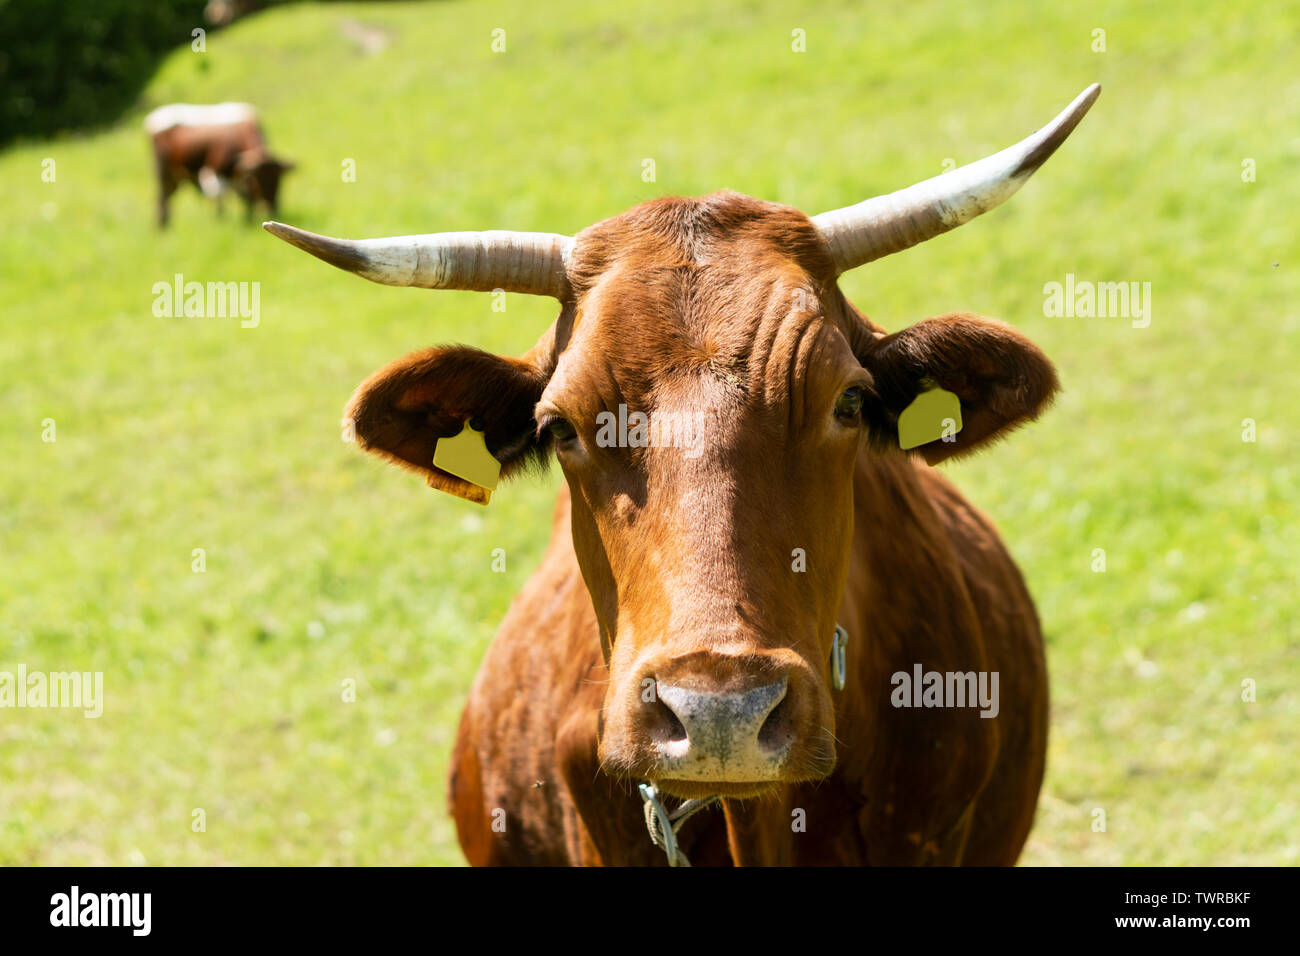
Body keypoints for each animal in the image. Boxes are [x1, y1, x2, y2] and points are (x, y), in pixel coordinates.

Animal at [144, 102, 293, 228]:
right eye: (260, 182)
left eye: (279, 181)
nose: (273, 208)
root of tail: (152, 119)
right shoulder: (218, 172)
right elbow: (222, 200)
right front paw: (223, 221)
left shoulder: (239, 177)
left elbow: (246, 199)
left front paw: (247, 220)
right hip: (163, 171)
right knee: (162, 198)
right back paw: (162, 227)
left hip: (176, 175)